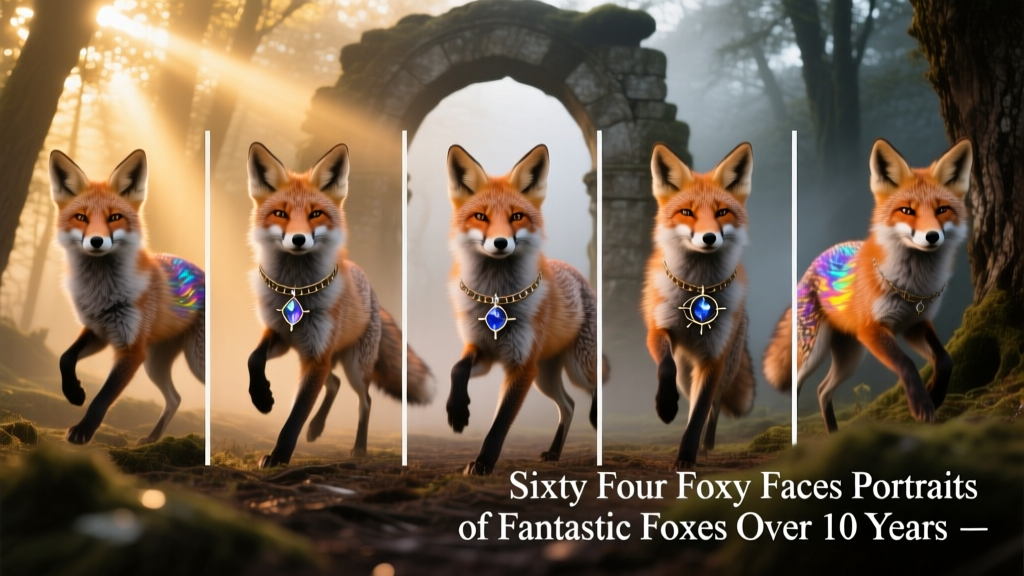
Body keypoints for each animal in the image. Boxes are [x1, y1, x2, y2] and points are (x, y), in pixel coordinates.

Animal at [50, 149, 205, 446]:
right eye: (81, 218)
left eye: (115, 218)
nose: (96, 241)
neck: (102, 292)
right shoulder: (99, 332)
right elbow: (65, 358)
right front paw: (73, 392)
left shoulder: (131, 350)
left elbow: (102, 398)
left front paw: (83, 431)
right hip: (155, 364)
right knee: (175, 398)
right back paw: (152, 439)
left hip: (193, 361)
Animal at [246, 142, 432, 468]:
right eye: (280, 214)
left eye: (316, 214)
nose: (298, 239)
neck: (296, 292)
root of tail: (370, 288)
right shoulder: (281, 337)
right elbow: (253, 359)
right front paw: (261, 398)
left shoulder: (316, 354)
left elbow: (295, 416)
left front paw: (279, 456)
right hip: (310, 357)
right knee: (333, 383)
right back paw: (317, 428)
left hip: (352, 366)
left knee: (364, 399)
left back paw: (358, 448)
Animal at [446, 144, 601, 476]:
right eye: (480, 217)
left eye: (516, 217)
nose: (500, 242)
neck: (497, 300)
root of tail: (575, 273)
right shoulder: (484, 352)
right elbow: (457, 368)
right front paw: (458, 412)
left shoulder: (521, 366)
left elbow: (501, 422)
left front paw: (483, 463)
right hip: (546, 377)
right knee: (569, 405)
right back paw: (554, 452)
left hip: (577, 368)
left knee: (597, 388)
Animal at [643, 142, 756, 469]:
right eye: (687, 213)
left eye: (722, 212)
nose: (708, 237)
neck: (697, 291)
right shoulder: (657, 329)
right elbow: (665, 367)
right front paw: (666, 406)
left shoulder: (714, 358)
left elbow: (700, 412)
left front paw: (686, 456)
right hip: (685, 374)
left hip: (724, 366)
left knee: (713, 404)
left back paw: (707, 444)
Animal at [763, 138, 972, 432]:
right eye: (907, 211)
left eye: (942, 210)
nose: (932, 236)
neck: (911, 287)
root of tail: (814, 262)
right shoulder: (873, 330)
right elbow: (907, 363)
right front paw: (921, 405)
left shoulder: (915, 325)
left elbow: (945, 359)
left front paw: (935, 394)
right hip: (816, 352)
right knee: (798, 386)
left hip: (850, 358)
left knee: (822, 390)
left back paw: (833, 433)